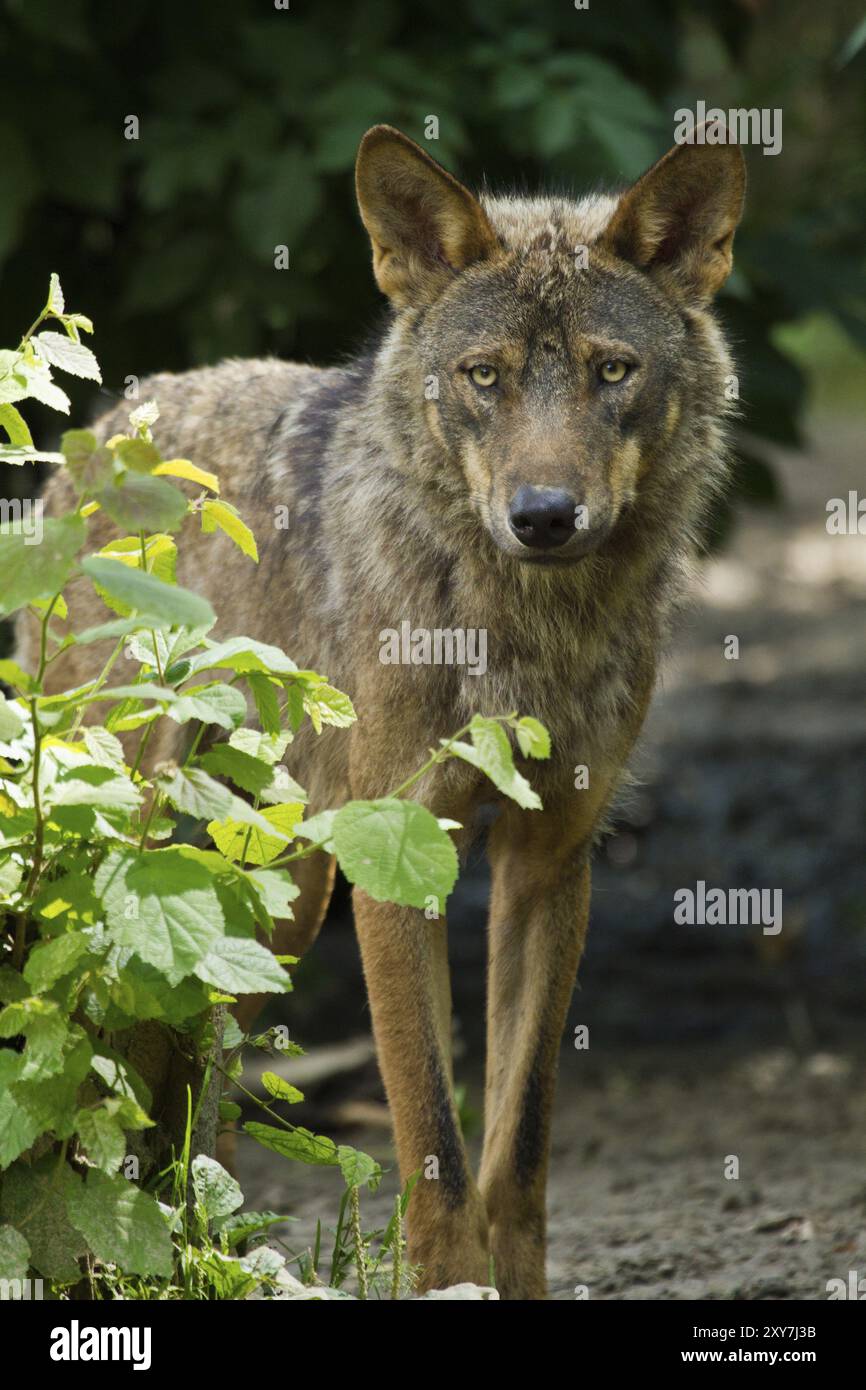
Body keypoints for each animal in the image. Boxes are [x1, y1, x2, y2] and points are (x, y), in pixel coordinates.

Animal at [21, 125, 745, 1299]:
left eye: (612, 371)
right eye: (483, 376)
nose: (544, 516)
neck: (519, 627)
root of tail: (113, 421)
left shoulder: (549, 861)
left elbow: (518, 1143)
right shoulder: (396, 853)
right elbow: (430, 1138)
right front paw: (449, 1281)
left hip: (276, 887)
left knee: (206, 1077)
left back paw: (219, 1249)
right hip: (144, 848)